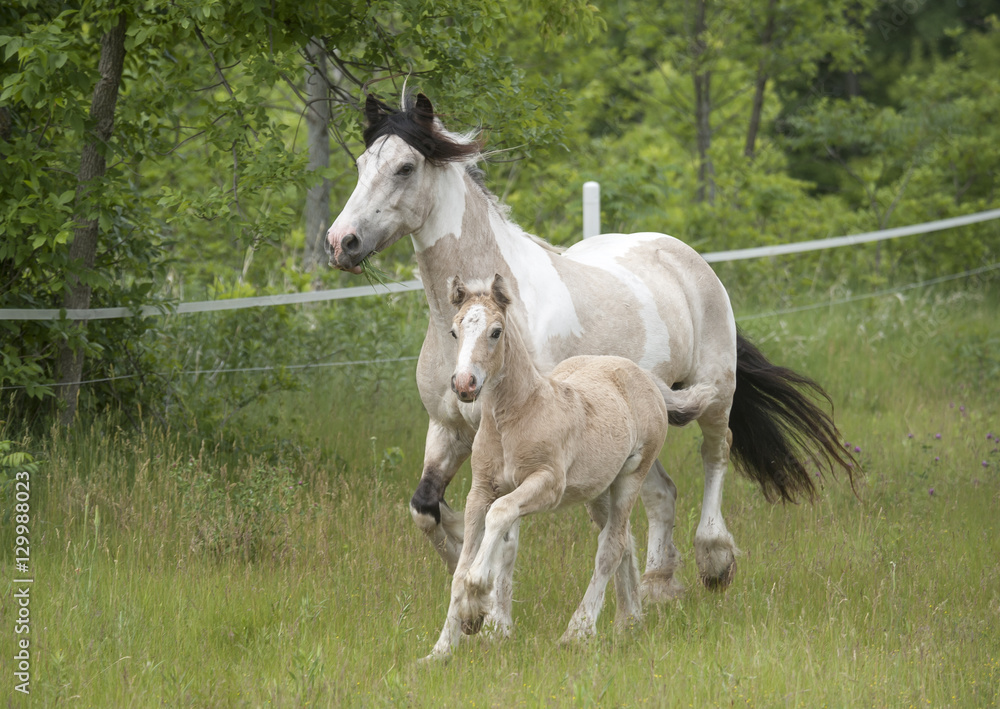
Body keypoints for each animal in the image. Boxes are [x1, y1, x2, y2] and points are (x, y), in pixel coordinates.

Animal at [426, 274, 714, 659]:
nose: (464, 384)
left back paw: (579, 630)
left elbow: (499, 515)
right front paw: (442, 648)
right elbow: (460, 568)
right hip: (599, 490)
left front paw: (477, 602)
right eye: (455, 331)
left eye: (496, 331)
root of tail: (642, 374)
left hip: (630, 477)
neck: (515, 418)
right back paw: (629, 621)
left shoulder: (547, 484)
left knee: (611, 546)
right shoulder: (481, 489)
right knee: (624, 540)